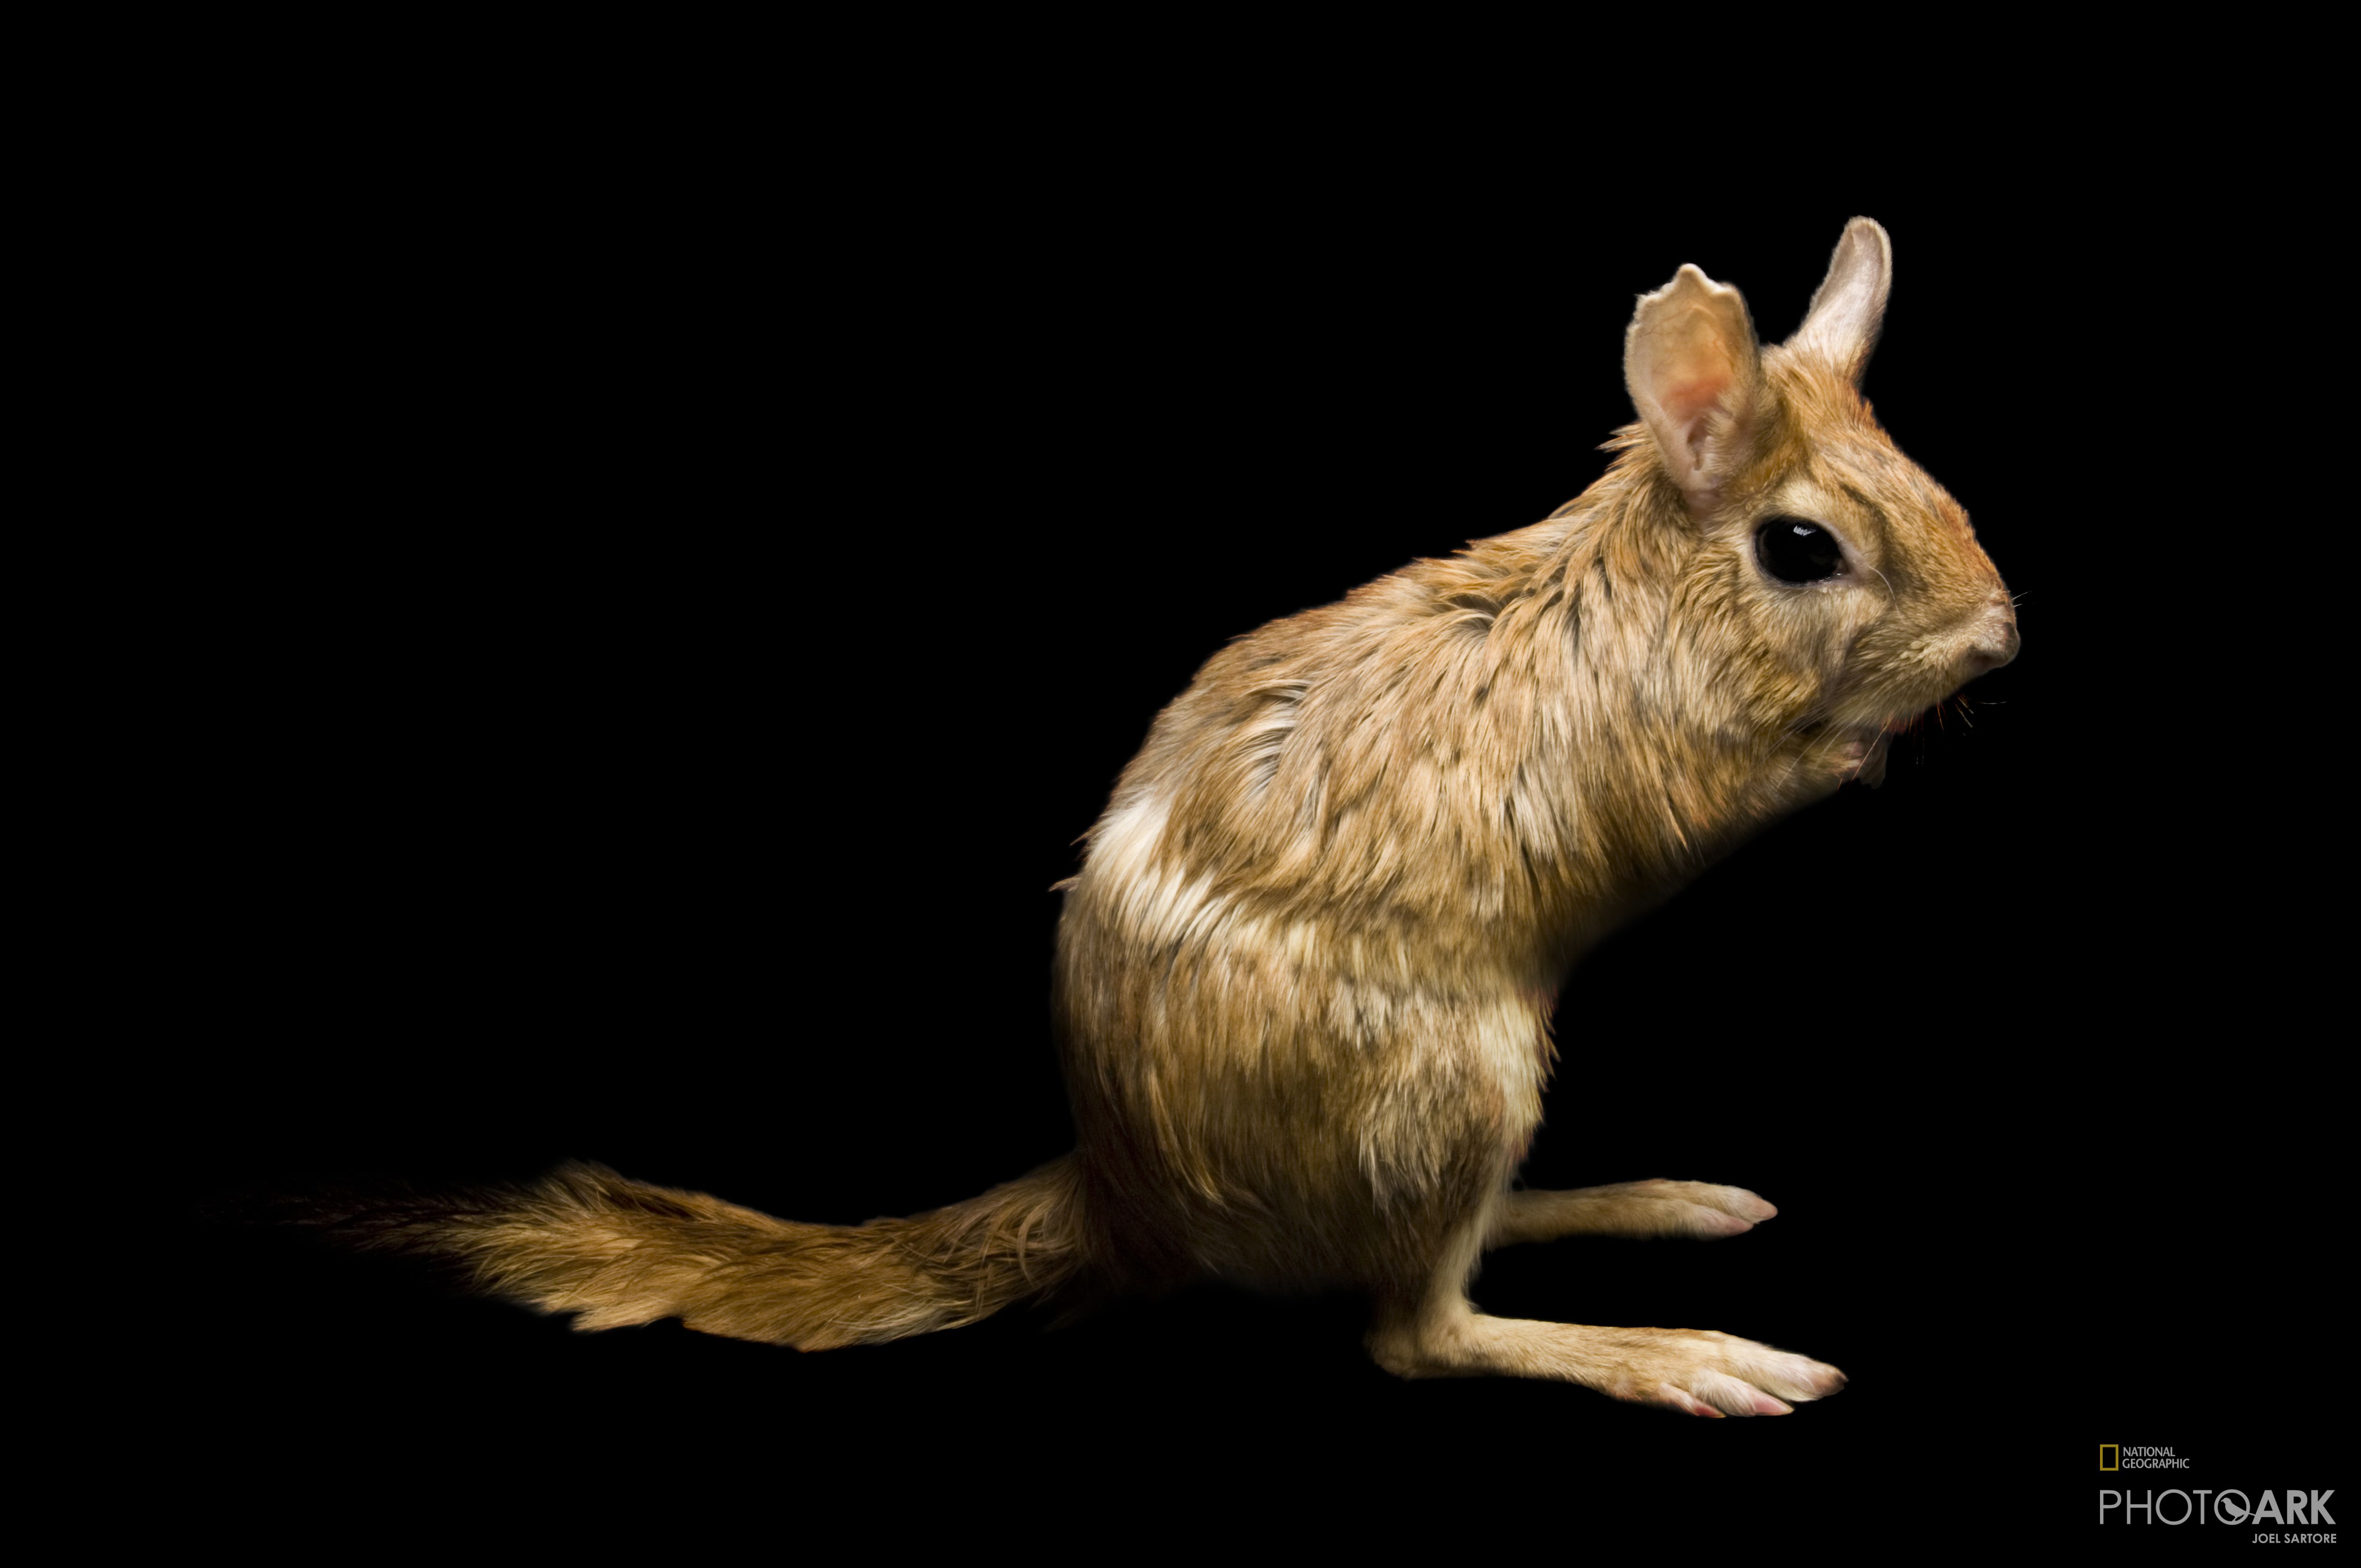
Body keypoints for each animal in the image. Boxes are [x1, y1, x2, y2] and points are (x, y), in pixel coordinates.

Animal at [324, 218, 2016, 1417]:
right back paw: (1689, 1352)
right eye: (1803, 547)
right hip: (1455, 1085)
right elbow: (1779, 767)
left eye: (1927, 482)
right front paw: (1865, 743)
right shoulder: (1680, 761)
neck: (1638, 593)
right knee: (1417, 1330)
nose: (2004, 639)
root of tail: (1122, 1202)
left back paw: (1660, 1199)